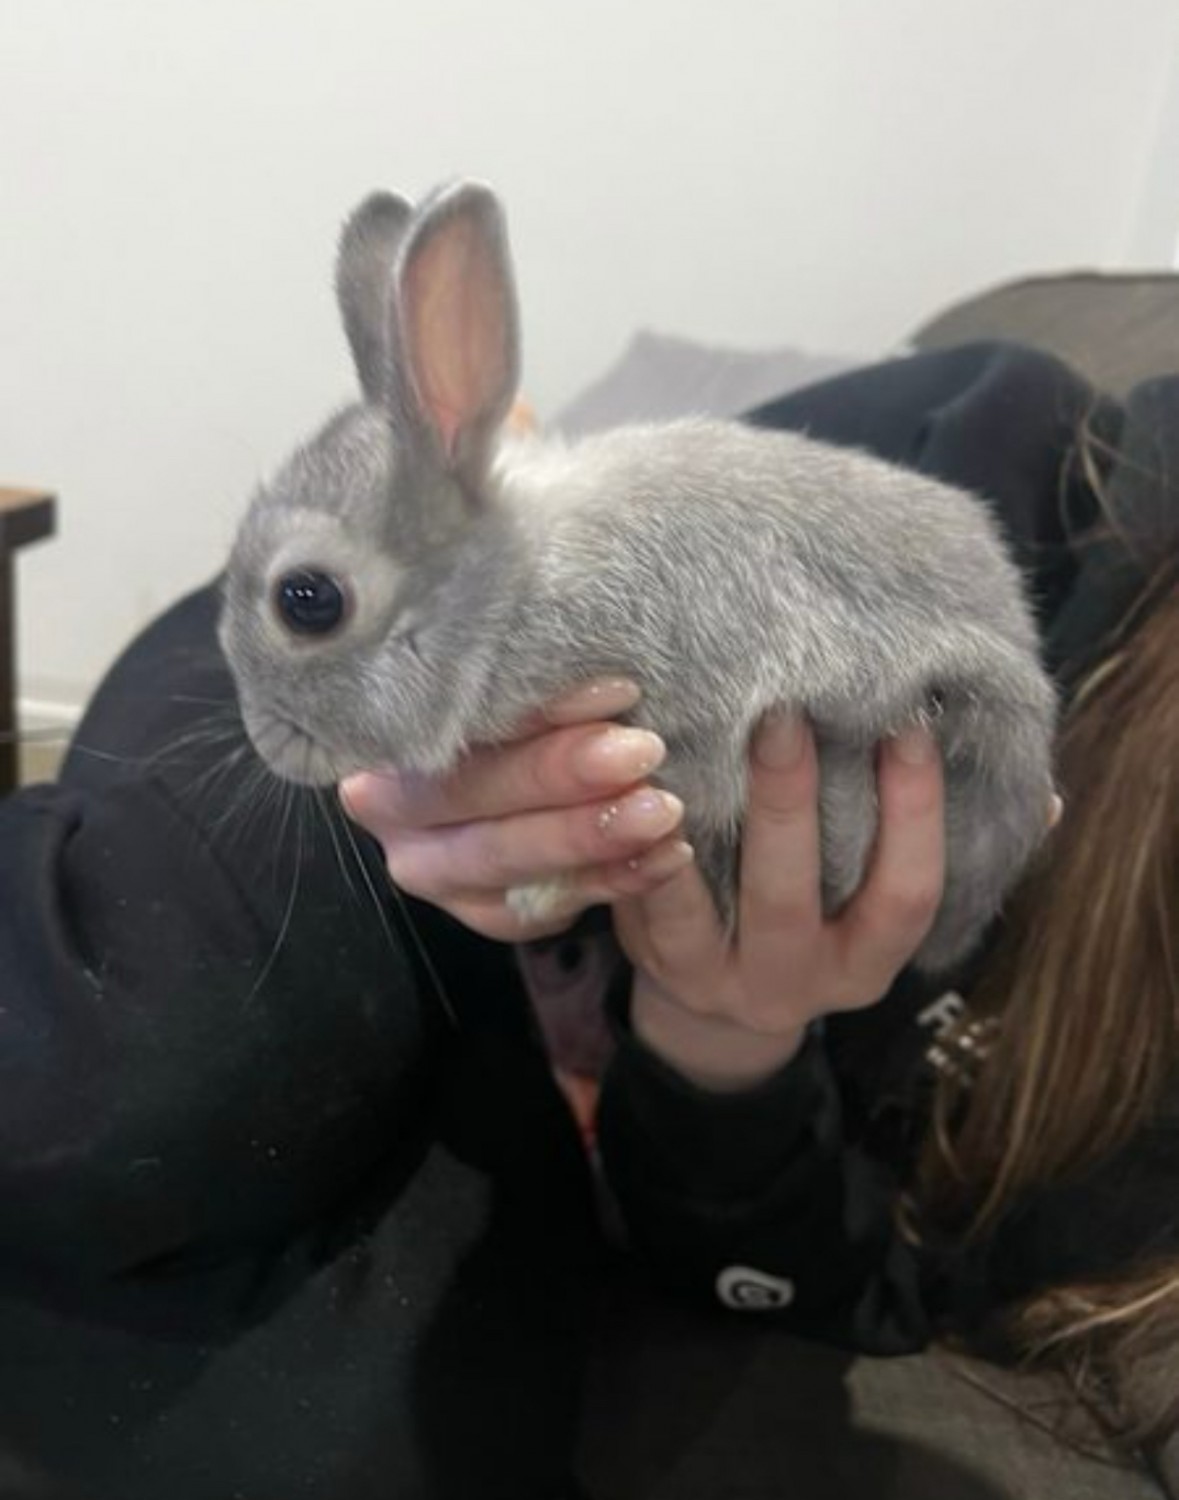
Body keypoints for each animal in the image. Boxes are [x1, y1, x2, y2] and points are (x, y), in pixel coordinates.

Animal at [218, 179, 1057, 975]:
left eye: (307, 600)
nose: (269, 743)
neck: (514, 591)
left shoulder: (683, 715)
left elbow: (682, 798)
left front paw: (537, 893)